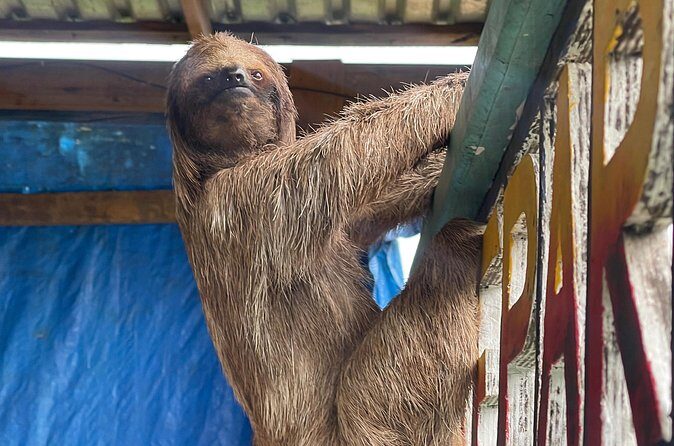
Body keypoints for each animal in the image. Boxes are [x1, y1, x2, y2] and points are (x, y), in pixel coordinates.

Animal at [166, 33, 482, 446]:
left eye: (255, 73)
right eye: (207, 79)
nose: (235, 77)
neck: (223, 165)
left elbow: (364, 212)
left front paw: (433, 167)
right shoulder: (247, 196)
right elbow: (339, 158)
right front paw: (455, 90)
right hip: (363, 422)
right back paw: (458, 245)